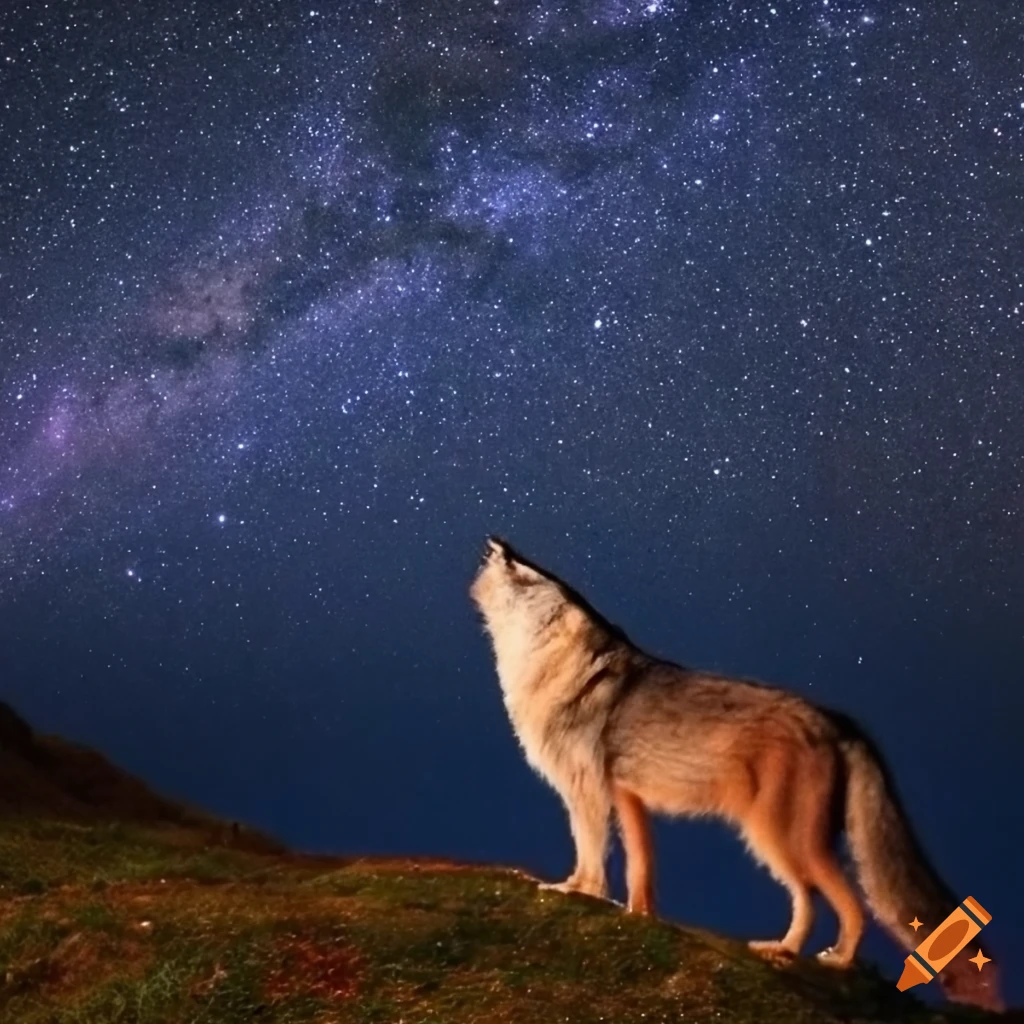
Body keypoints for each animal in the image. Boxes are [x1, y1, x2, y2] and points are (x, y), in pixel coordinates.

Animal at [469, 536, 1004, 1012]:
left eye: (528, 572)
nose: (500, 544)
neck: (555, 670)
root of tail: (840, 720)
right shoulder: (627, 800)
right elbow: (641, 872)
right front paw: (638, 916)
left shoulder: (586, 793)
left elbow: (589, 857)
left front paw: (575, 890)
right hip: (779, 844)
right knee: (812, 902)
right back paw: (784, 950)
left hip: (779, 840)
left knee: (847, 903)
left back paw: (832, 959)